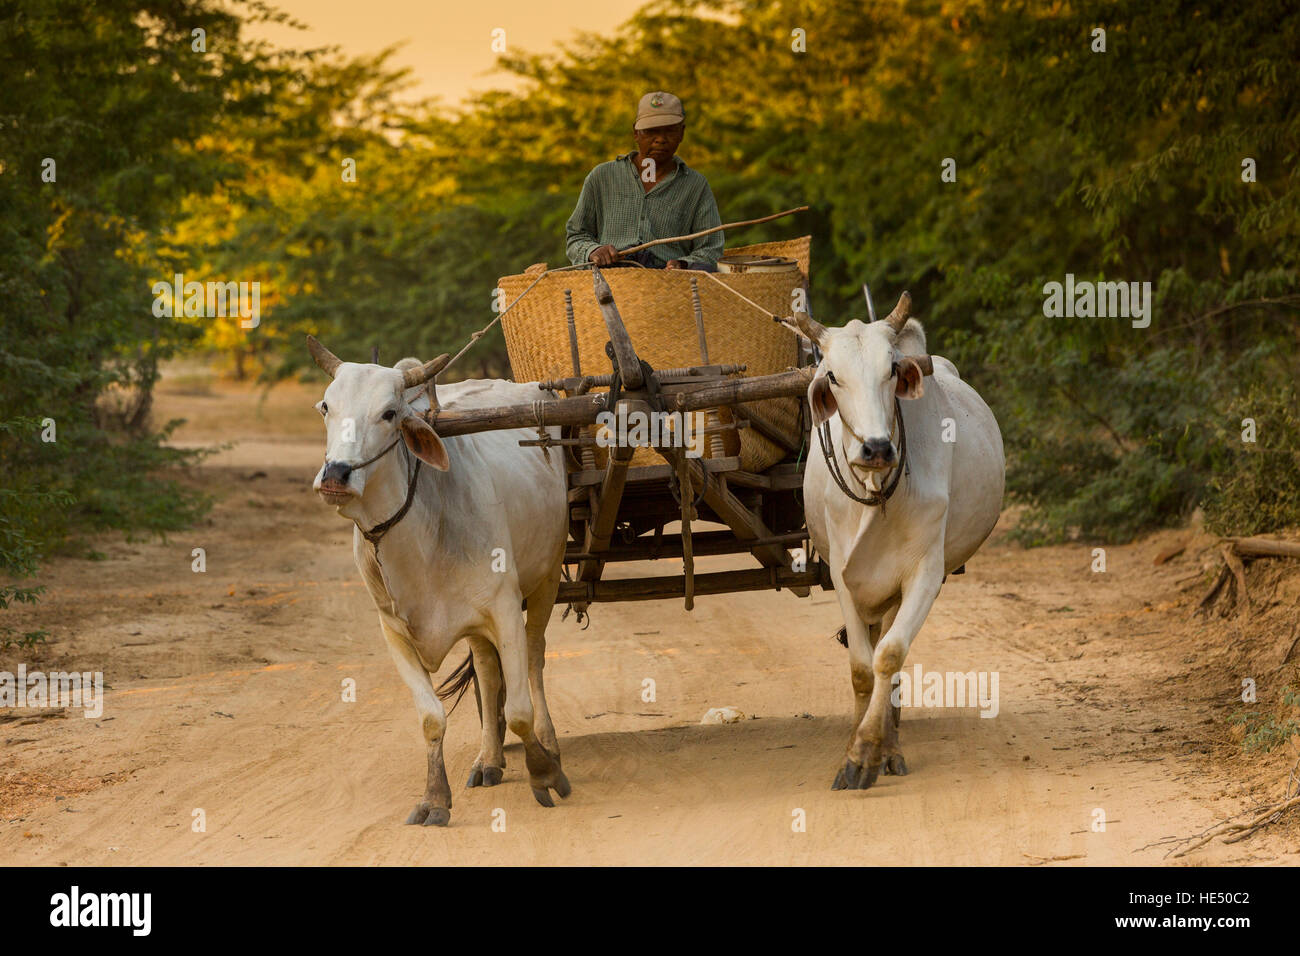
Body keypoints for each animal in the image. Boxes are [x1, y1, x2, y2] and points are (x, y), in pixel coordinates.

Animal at [306, 336, 571, 825]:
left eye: (390, 413)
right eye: (326, 406)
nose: (335, 476)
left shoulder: (506, 609)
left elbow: (519, 709)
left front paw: (544, 773)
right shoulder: (393, 631)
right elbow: (431, 718)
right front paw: (434, 798)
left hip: (547, 575)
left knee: (534, 659)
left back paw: (551, 748)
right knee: (487, 669)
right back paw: (489, 759)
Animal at [796, 293, 1004, 790]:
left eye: (891, 369)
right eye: (833, 376)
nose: (875, 448)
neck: (877, 494)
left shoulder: (925, 574)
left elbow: (888, 657)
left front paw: (865, 753)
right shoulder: (842, 575)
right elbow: (860, 668)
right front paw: (853, 751)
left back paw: (888, 748)